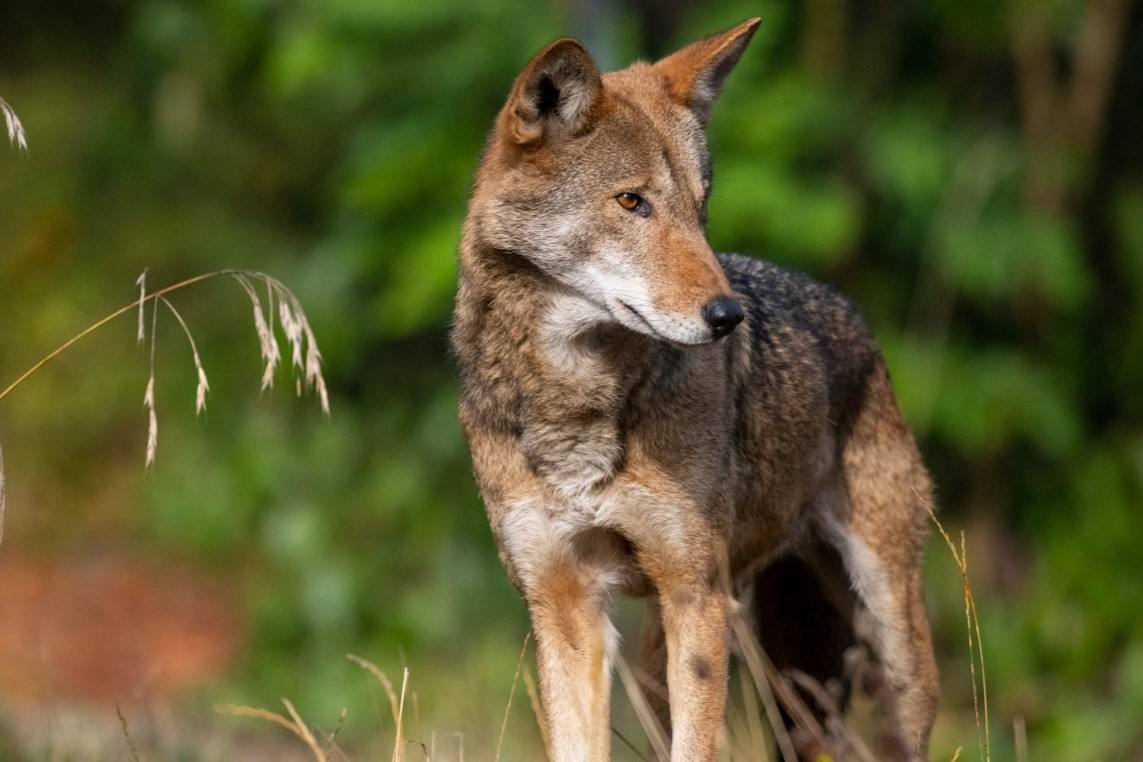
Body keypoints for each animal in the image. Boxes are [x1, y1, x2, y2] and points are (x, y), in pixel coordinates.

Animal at [451, 18, 939, 761]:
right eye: (632, 201)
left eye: (699, 208)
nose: (728, 315)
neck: (575, 402)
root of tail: (851, 314)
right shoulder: (563, 608)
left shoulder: (697, 595)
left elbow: (698, 742)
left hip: (886, 631)